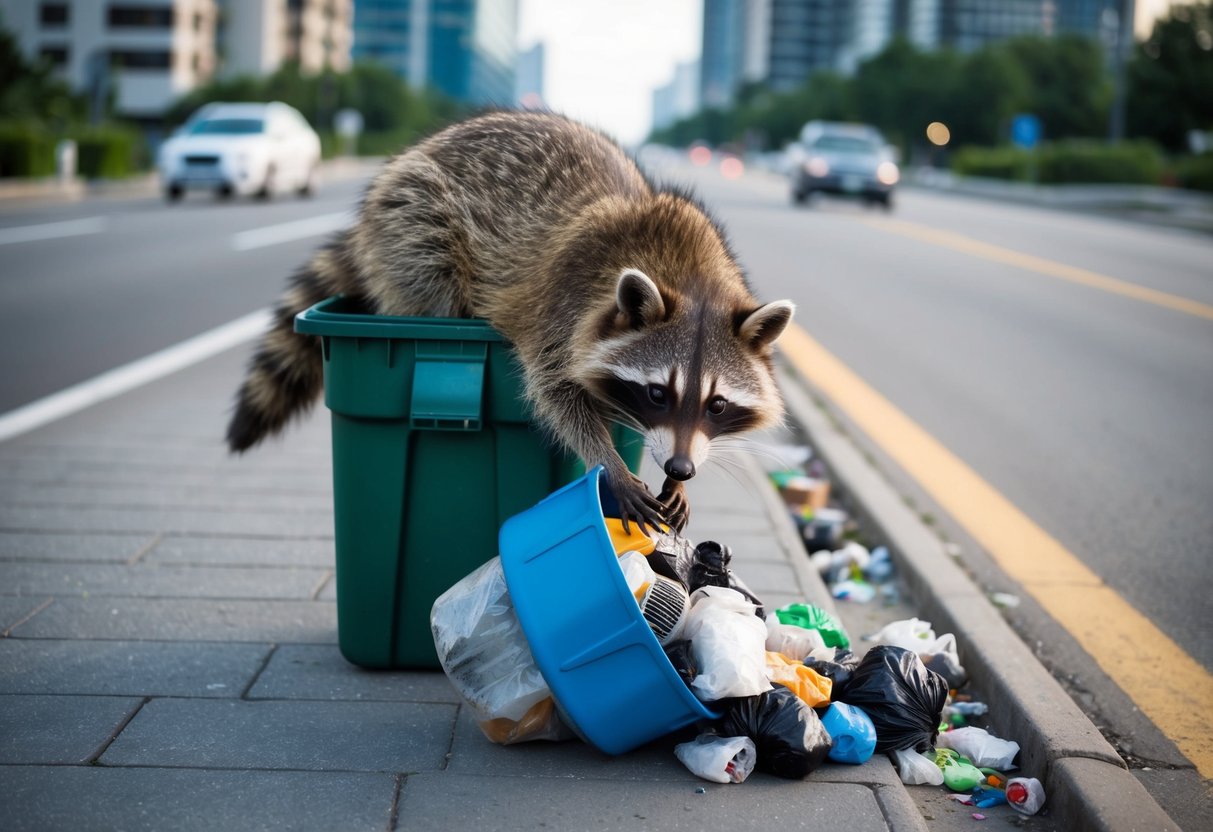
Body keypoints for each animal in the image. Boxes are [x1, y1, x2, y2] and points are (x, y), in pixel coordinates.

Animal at [227, 111, 794, 531]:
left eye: (717, 404)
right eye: (657, 393)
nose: (681, 467)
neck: (687, 270)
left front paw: (676, 475)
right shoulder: (564, 306)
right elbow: (555, 392)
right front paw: (608, 460)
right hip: (409, 217)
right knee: (427, 275)